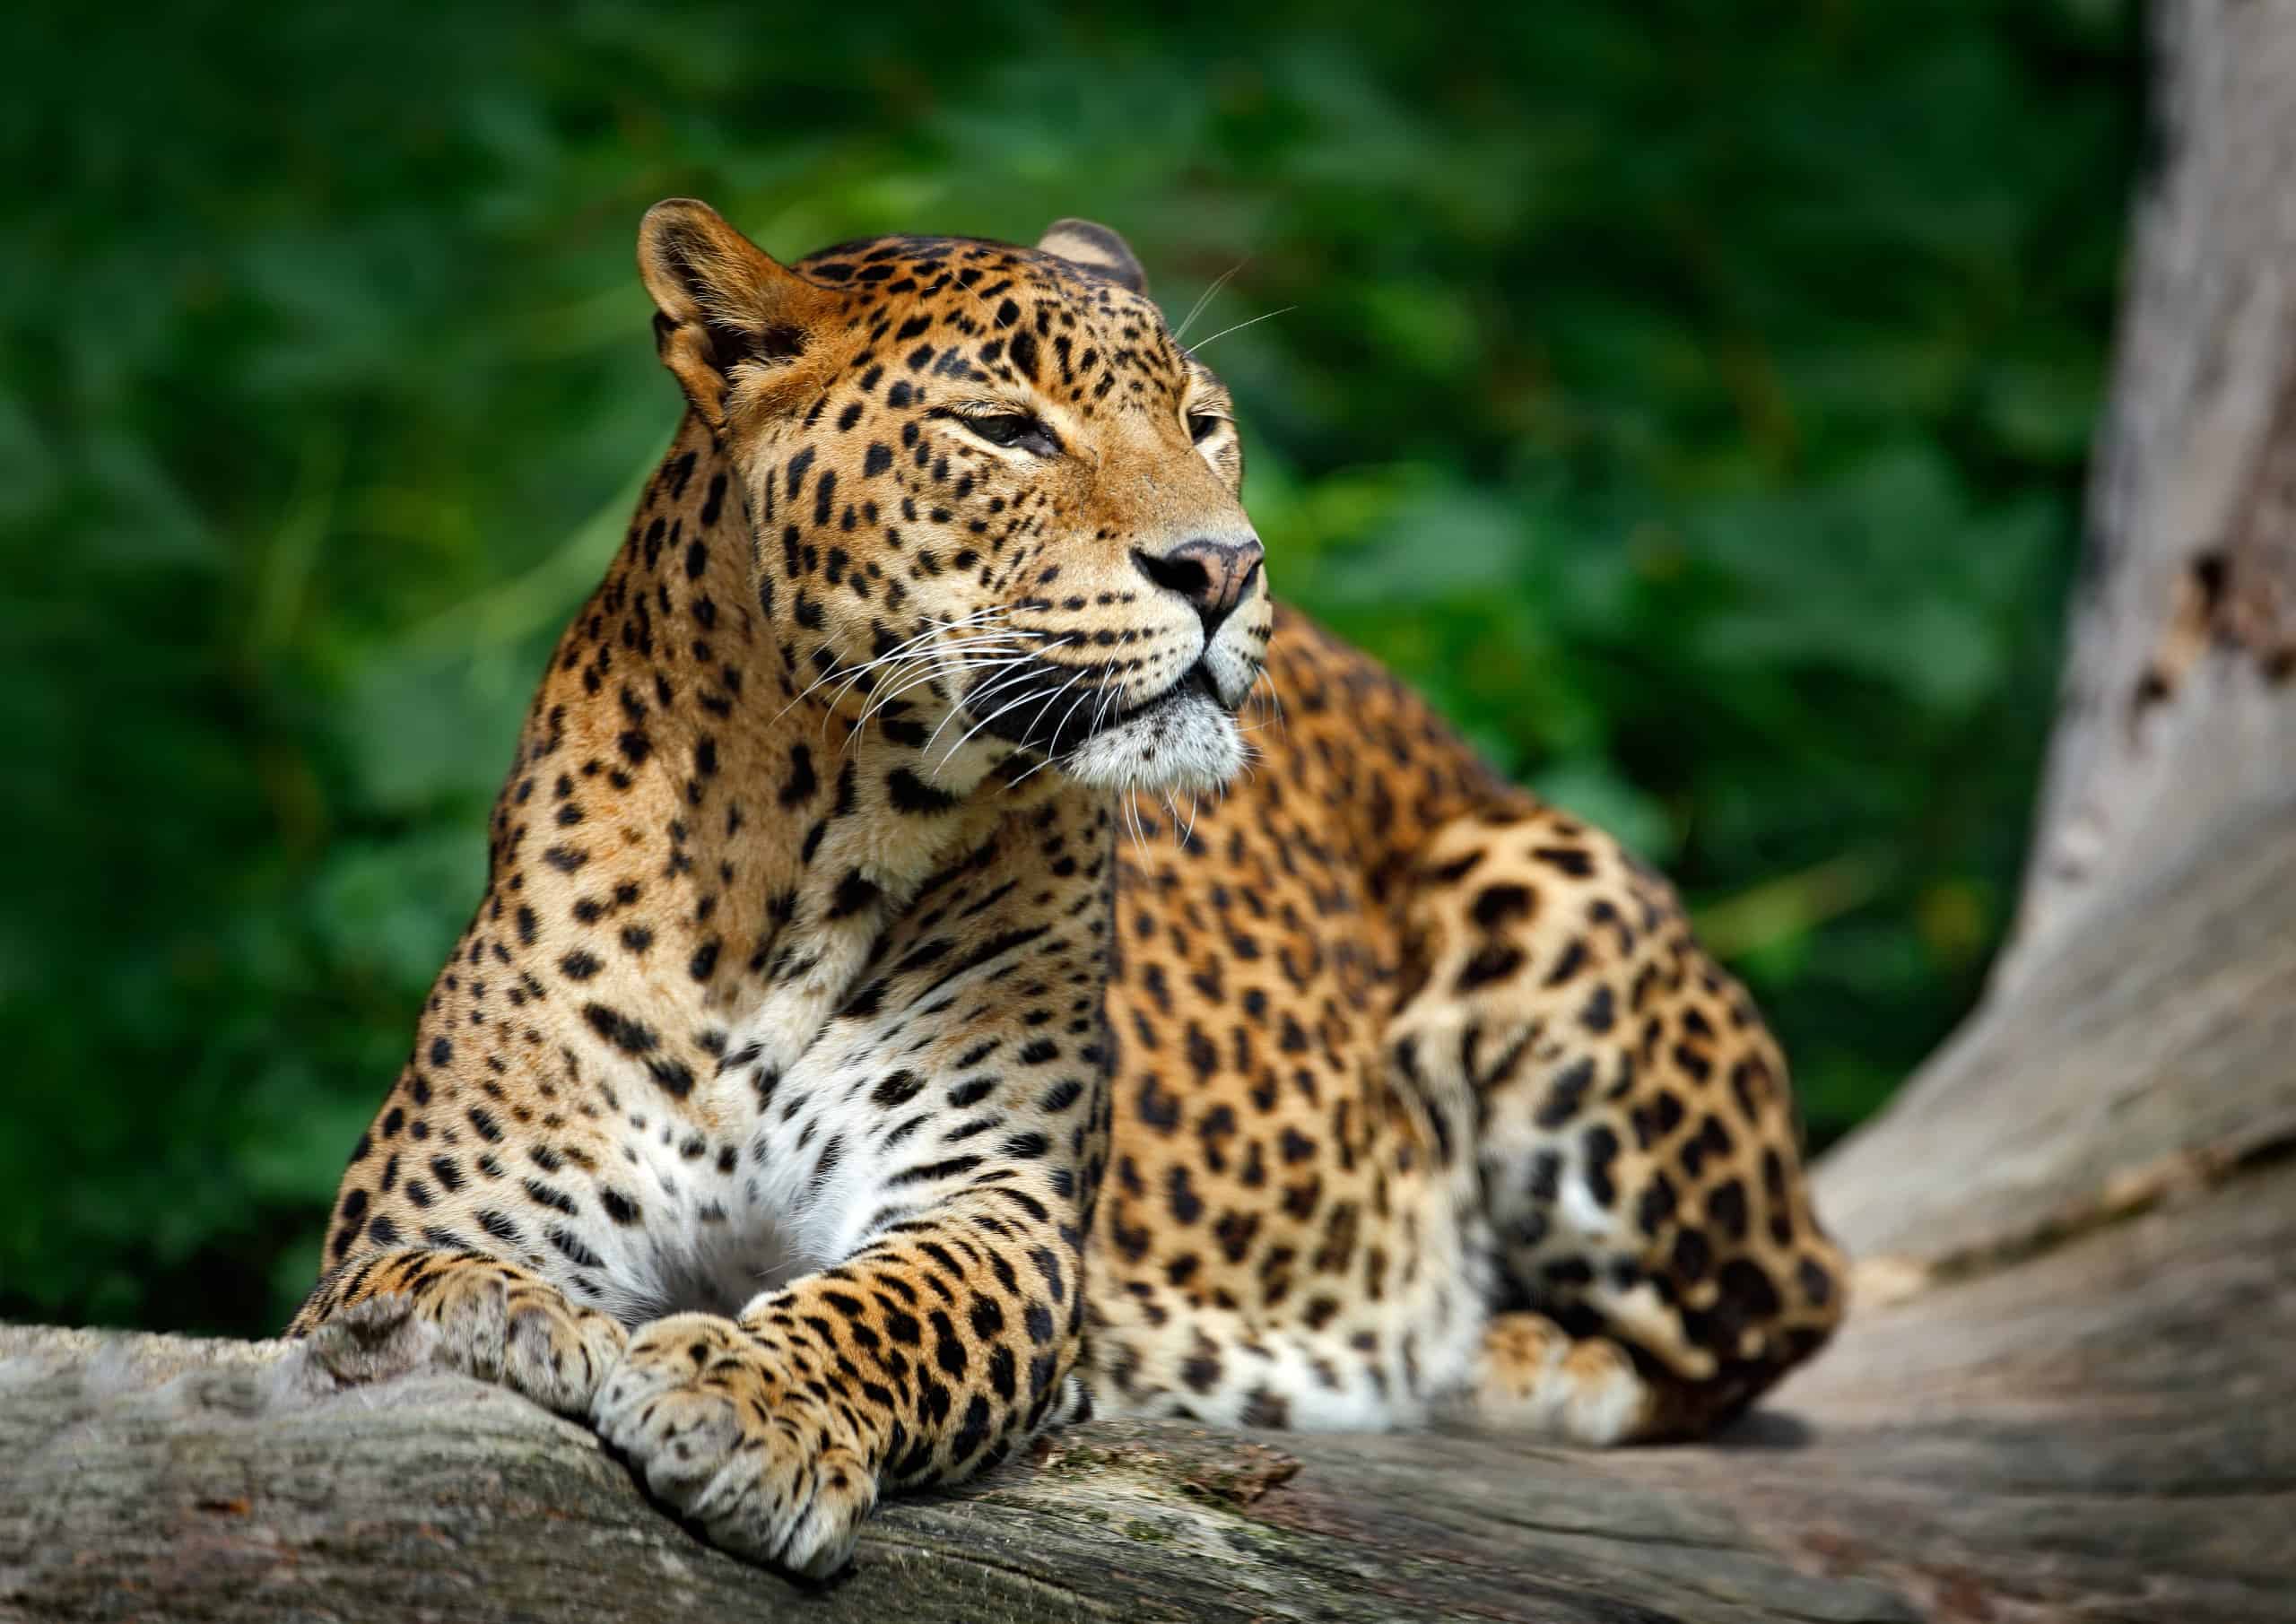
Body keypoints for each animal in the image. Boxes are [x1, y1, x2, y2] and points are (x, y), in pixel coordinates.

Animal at [292, 198, 1847, 1577]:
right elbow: (400, 1285)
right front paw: (496, 1322)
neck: (801, 856)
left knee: (1782, 1312)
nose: (1225, 564)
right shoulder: (441, 1197)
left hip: (1545, 887)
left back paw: (1506, 1352)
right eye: (1005, 428)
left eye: (1204, 423)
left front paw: (743, 1398)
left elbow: (886, 1307)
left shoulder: (996, 1204)